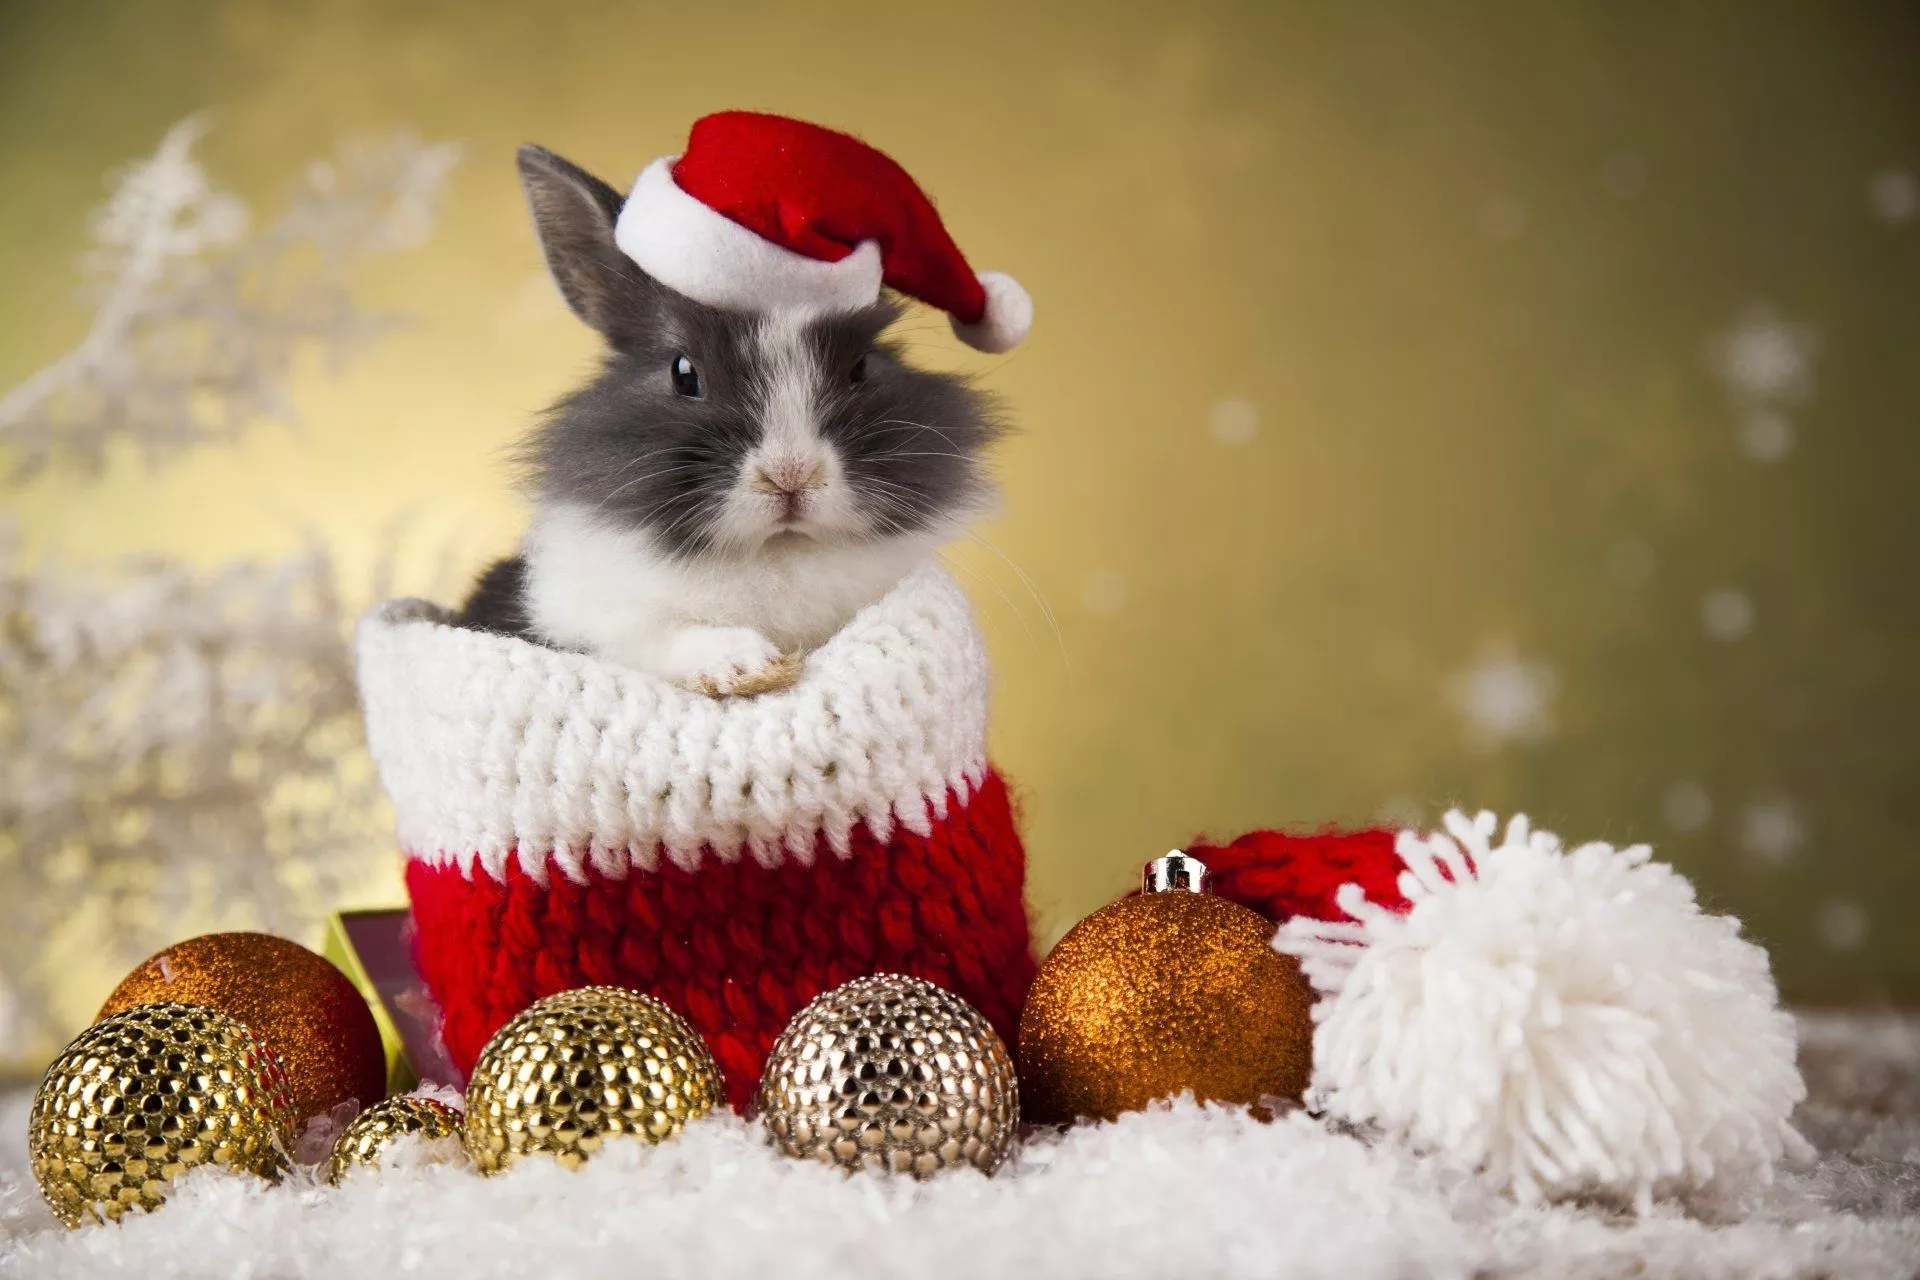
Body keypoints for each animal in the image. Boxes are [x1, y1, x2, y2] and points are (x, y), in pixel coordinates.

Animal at [456, 144, 1007, 695]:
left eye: (861, 366)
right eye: (683, 372)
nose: (791, 474)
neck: (775, 551)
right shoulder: (595, 619)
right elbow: (662, 638)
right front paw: (744, 664)